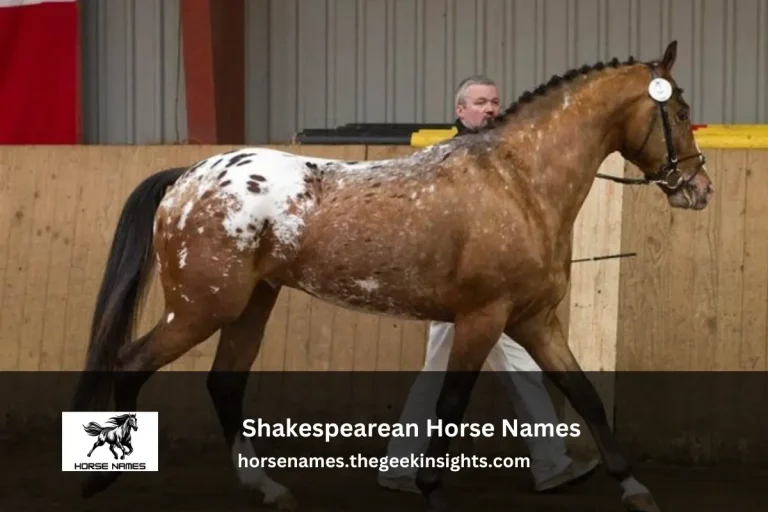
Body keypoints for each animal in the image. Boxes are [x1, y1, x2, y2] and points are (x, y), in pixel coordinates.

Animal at [71, 40, 712, 512]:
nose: (700, 189)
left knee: (224, 384)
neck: (517, 183)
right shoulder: (483, 319)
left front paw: (635, 489)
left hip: (252, 303)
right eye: (680, 111)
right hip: (202, 308)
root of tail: (188, 176)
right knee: (132, 363)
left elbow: (585, 397)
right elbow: (451, 406)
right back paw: (102, 480)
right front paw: (431, 491)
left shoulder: (535, 321)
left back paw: (269, 489)